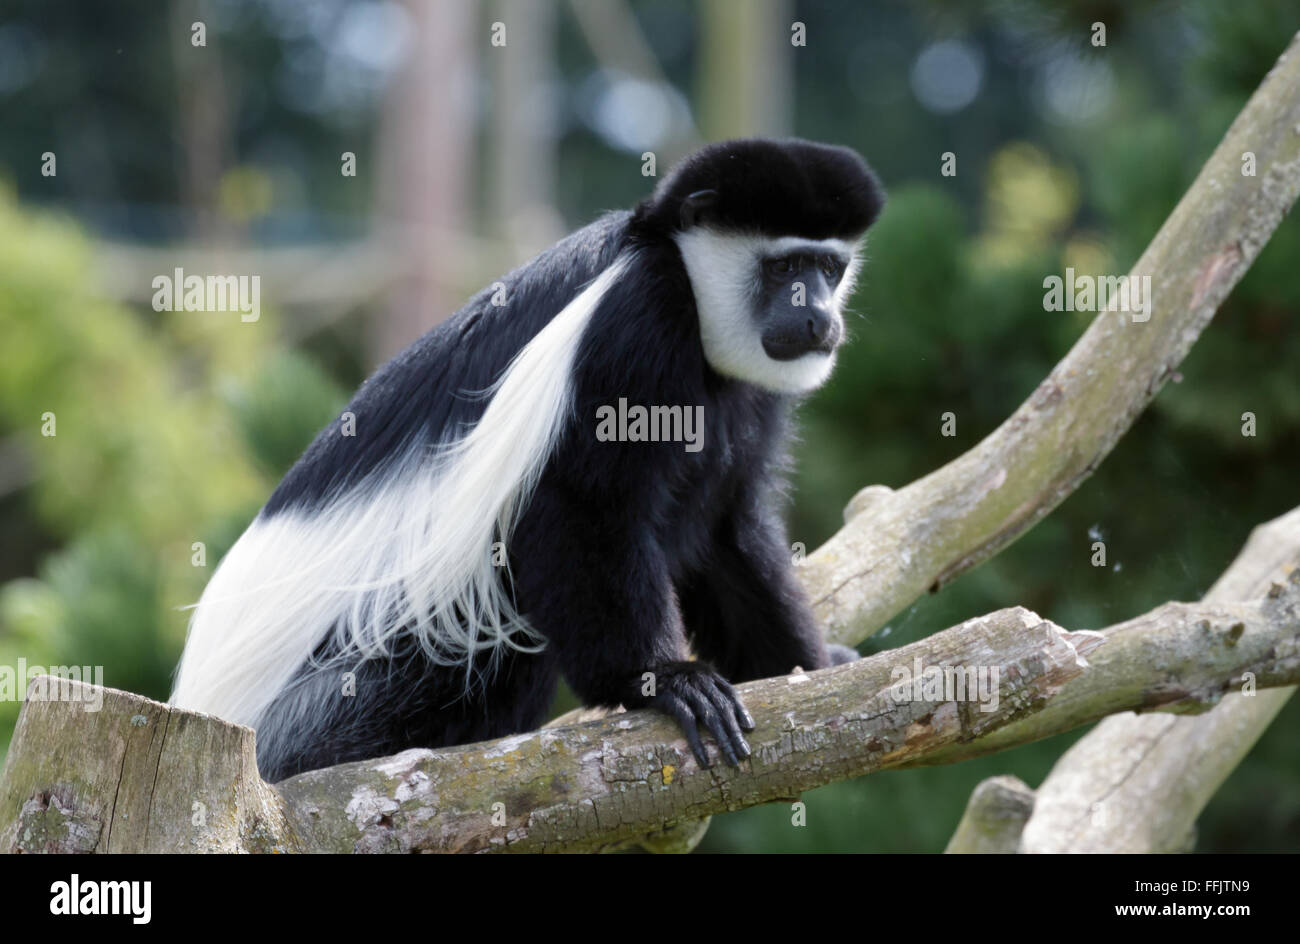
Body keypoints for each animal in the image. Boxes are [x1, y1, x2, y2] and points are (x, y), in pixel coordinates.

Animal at [170, 138, 885, 782]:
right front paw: (667, 681)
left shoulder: (749, 402)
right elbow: (577, 506)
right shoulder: (632, 323)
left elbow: (728, 534)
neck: (674, 266)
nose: (820, 319)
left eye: (828, 270)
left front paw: (809, 665)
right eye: (784, 270)